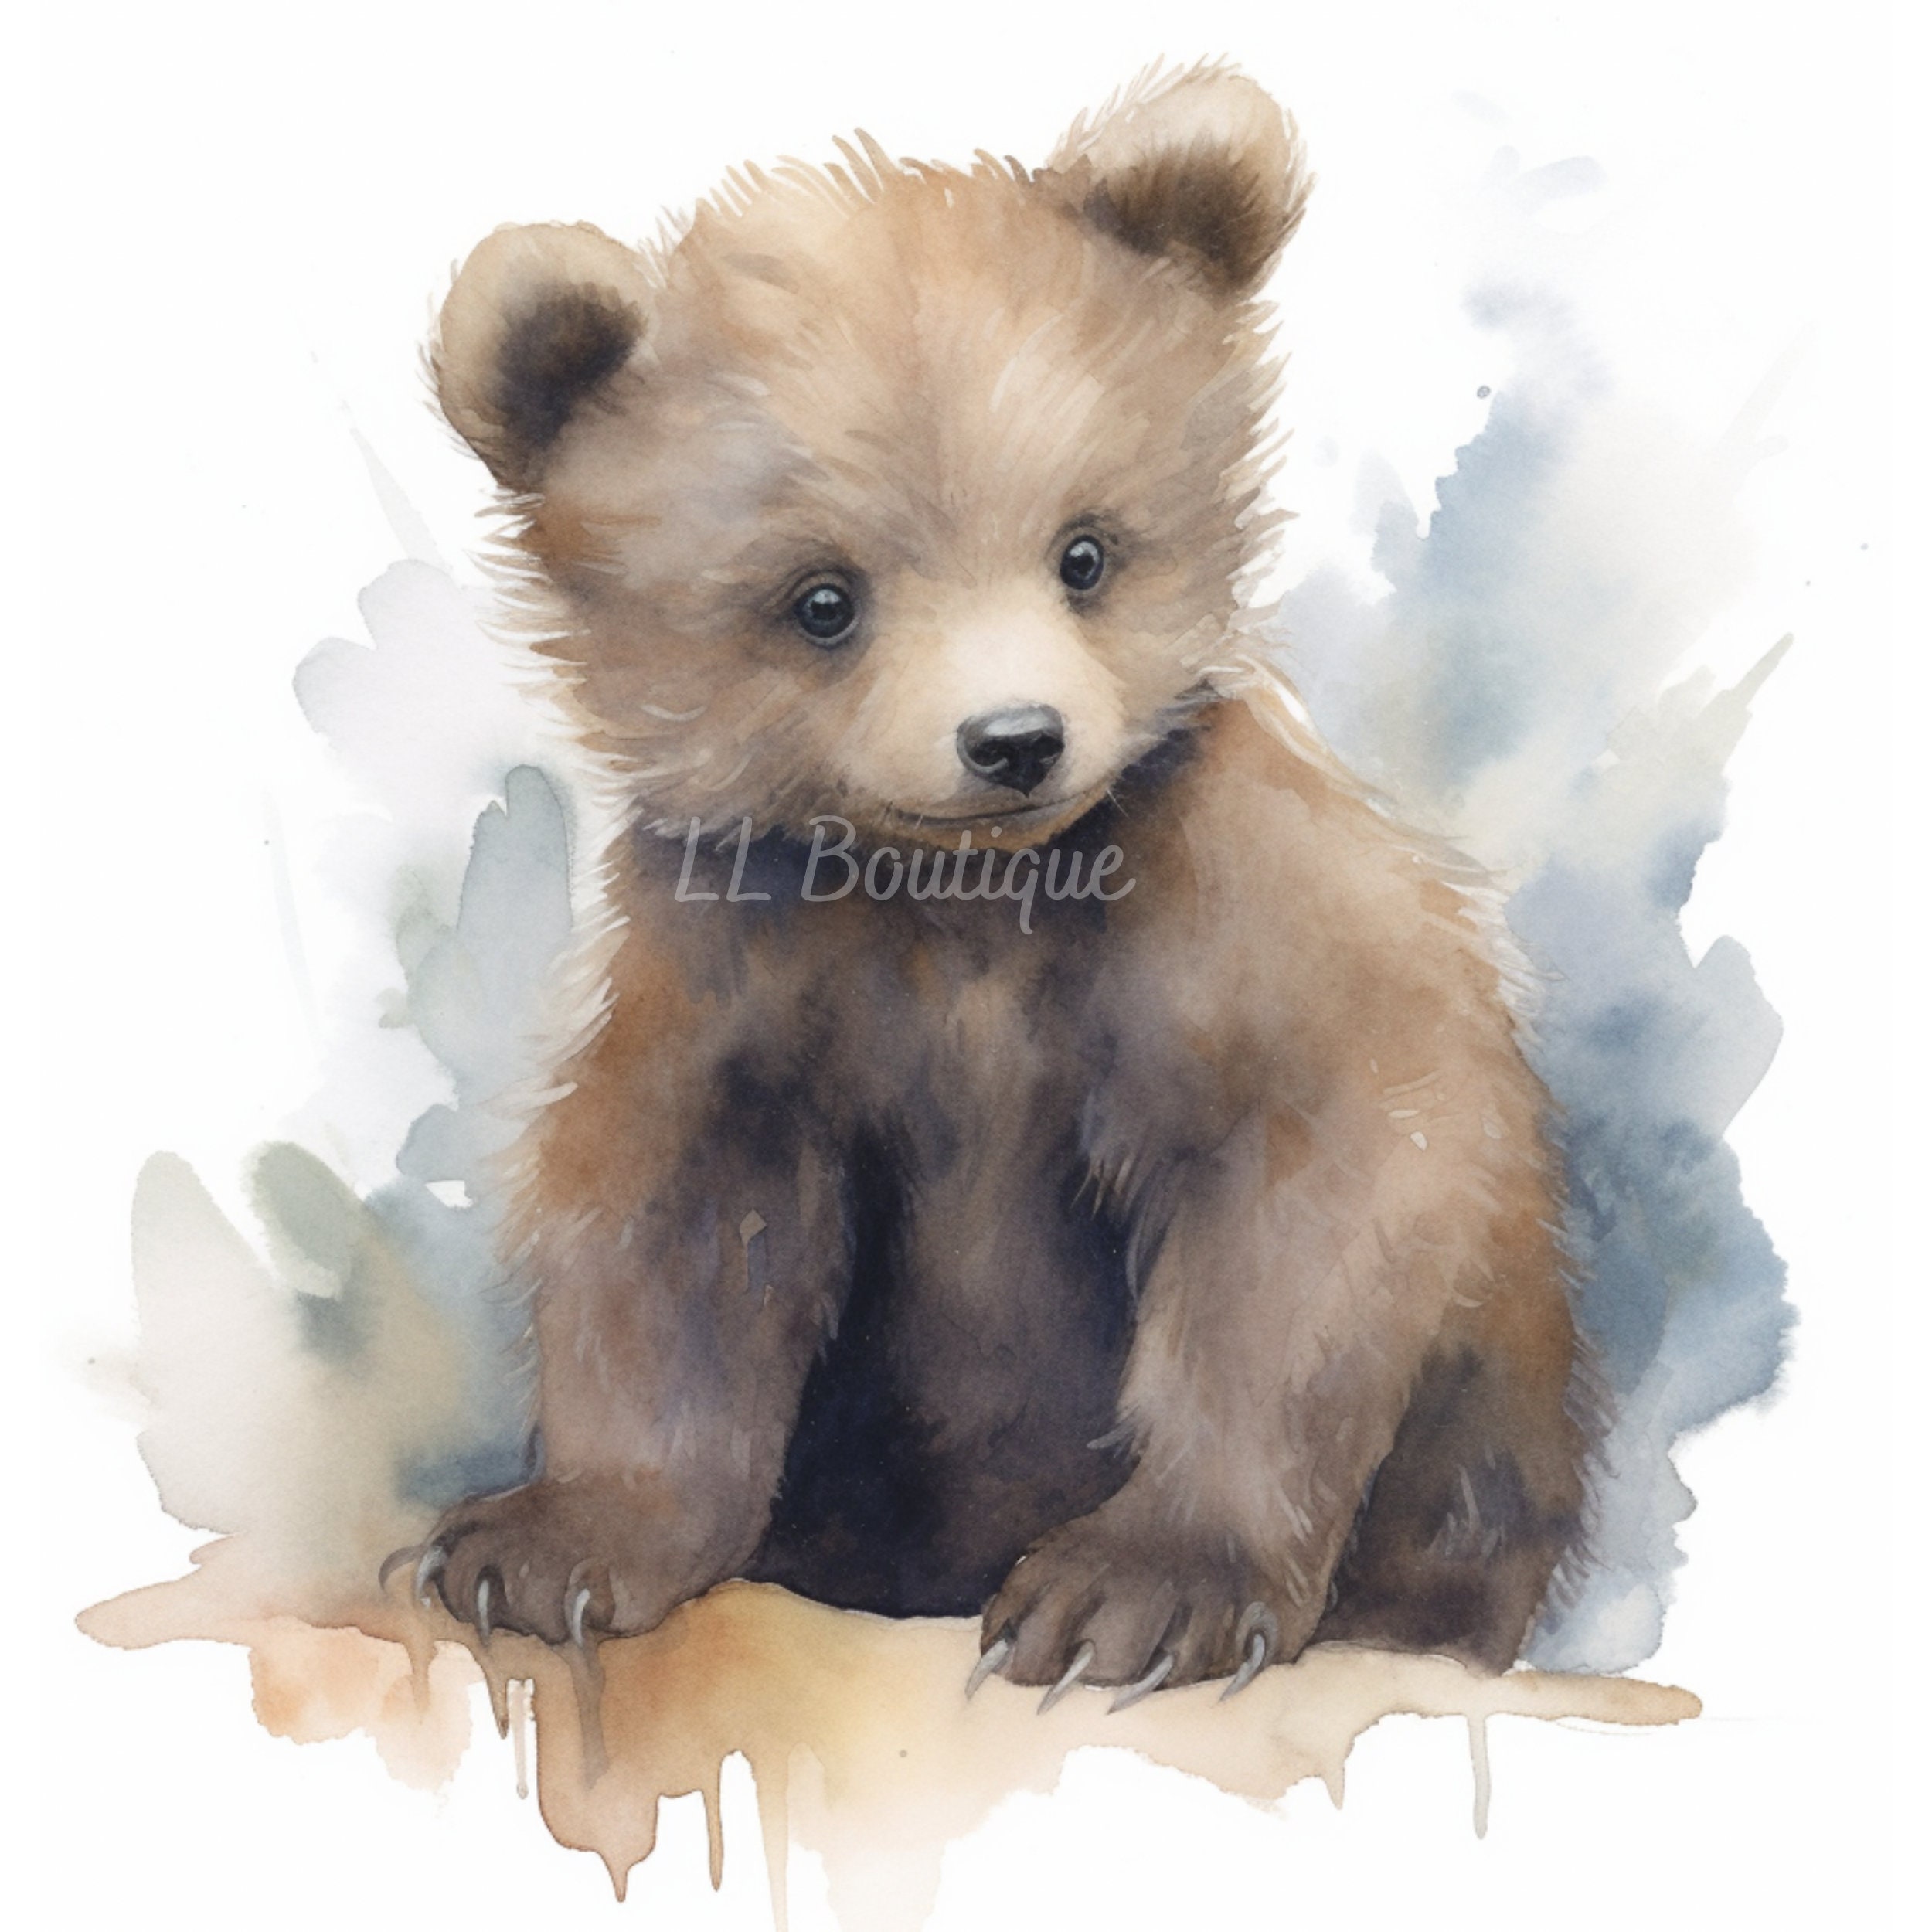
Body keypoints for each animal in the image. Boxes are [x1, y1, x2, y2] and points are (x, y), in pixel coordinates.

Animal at [408, 64, 1588, 1702]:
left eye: (1085, 552)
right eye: (820, 598)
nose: (1014, 739)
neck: (962, 899)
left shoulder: (1210, 921)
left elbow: (1313, 1210)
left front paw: (1140, 1590)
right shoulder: (754, 966)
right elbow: (672, 1227)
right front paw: (549, 1544)